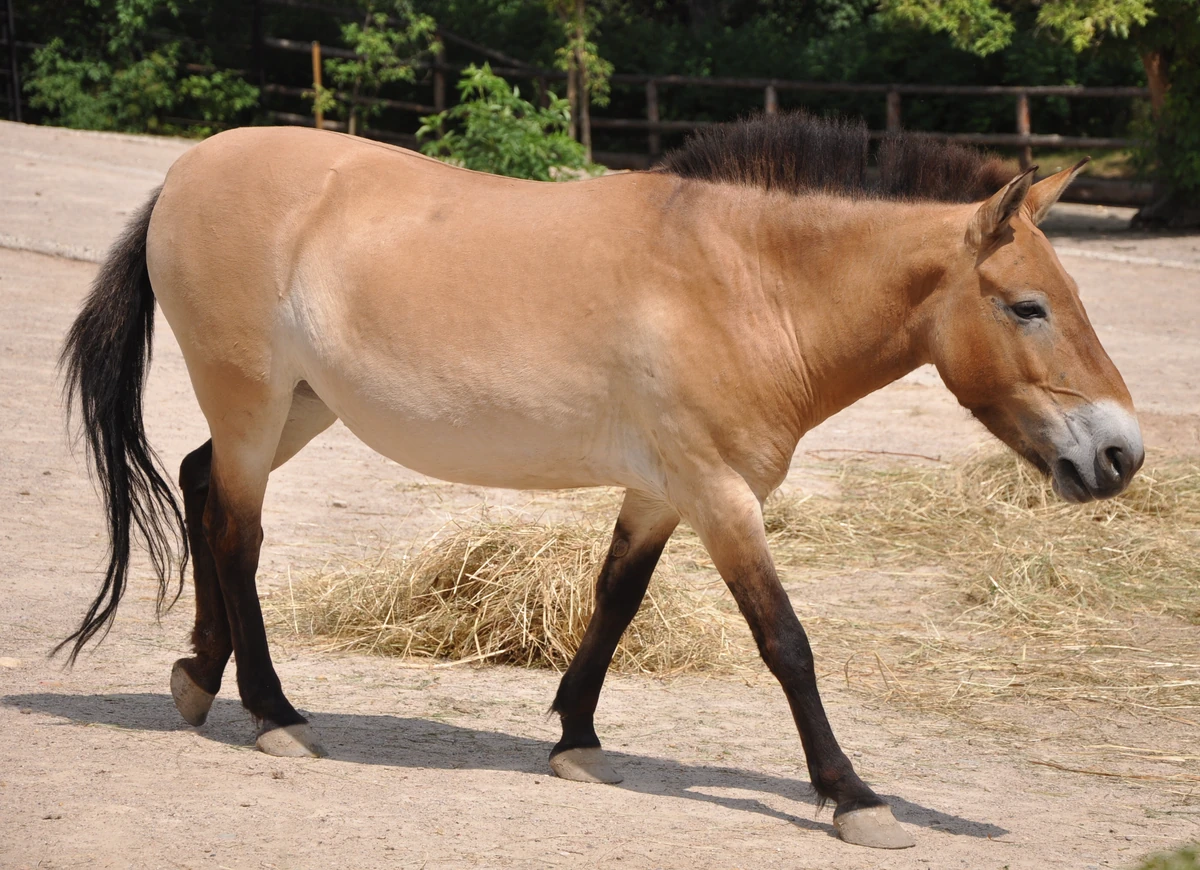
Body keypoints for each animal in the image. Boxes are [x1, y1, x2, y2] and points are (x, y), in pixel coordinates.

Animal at [58, 113, 1143, 850]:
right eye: (1029, 306)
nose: (1121, 455)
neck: (743, 283)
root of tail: (186, 169)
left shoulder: (664, 491)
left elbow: (615, 600)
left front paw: (575, 740)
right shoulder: (719, 494)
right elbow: (786, 643)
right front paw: (852, 796)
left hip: (295, 406)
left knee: (200, 486)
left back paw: (199, 678)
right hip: (252, 404)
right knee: (236, 536)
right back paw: (274, 715)